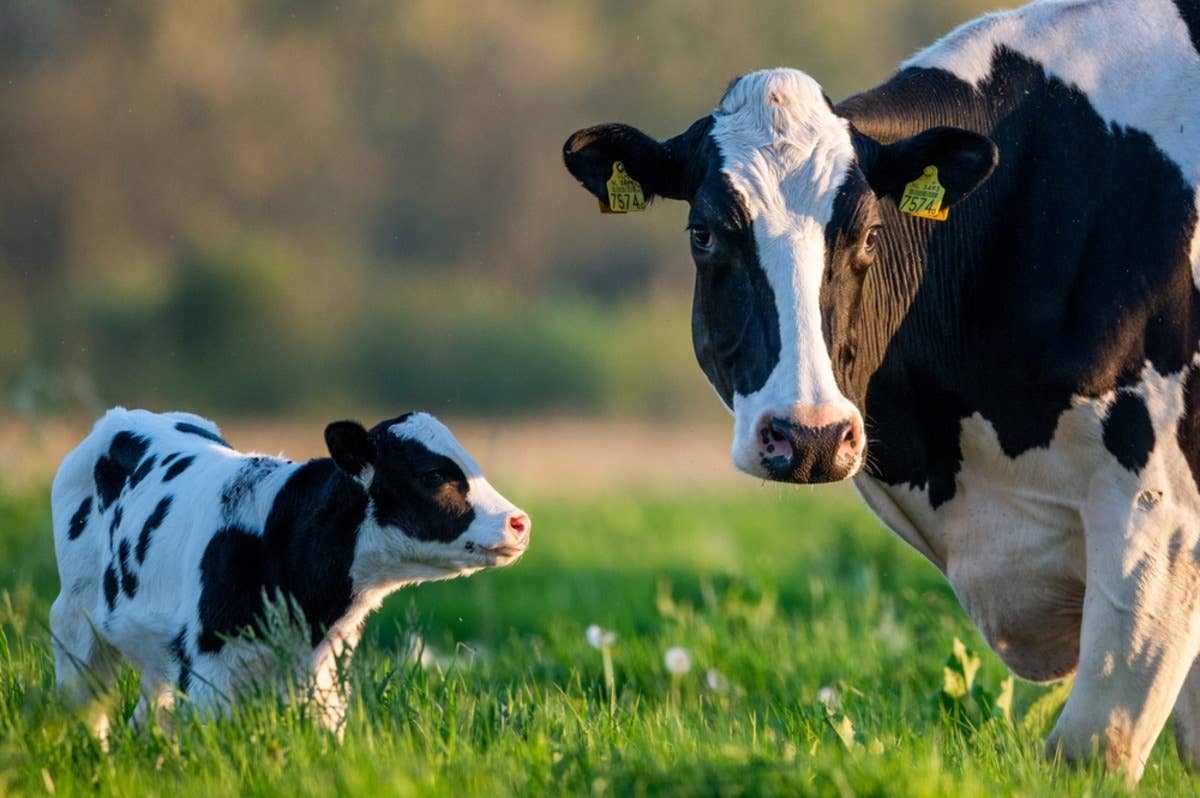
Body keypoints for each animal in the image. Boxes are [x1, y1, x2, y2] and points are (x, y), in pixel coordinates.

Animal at [50, 408, 530, 740]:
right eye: (432, 475)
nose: (519, 522)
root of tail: (122, 417)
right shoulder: (207, 667)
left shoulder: (324, 678)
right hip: (76, 625)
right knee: (85, 710)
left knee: (147, 715)